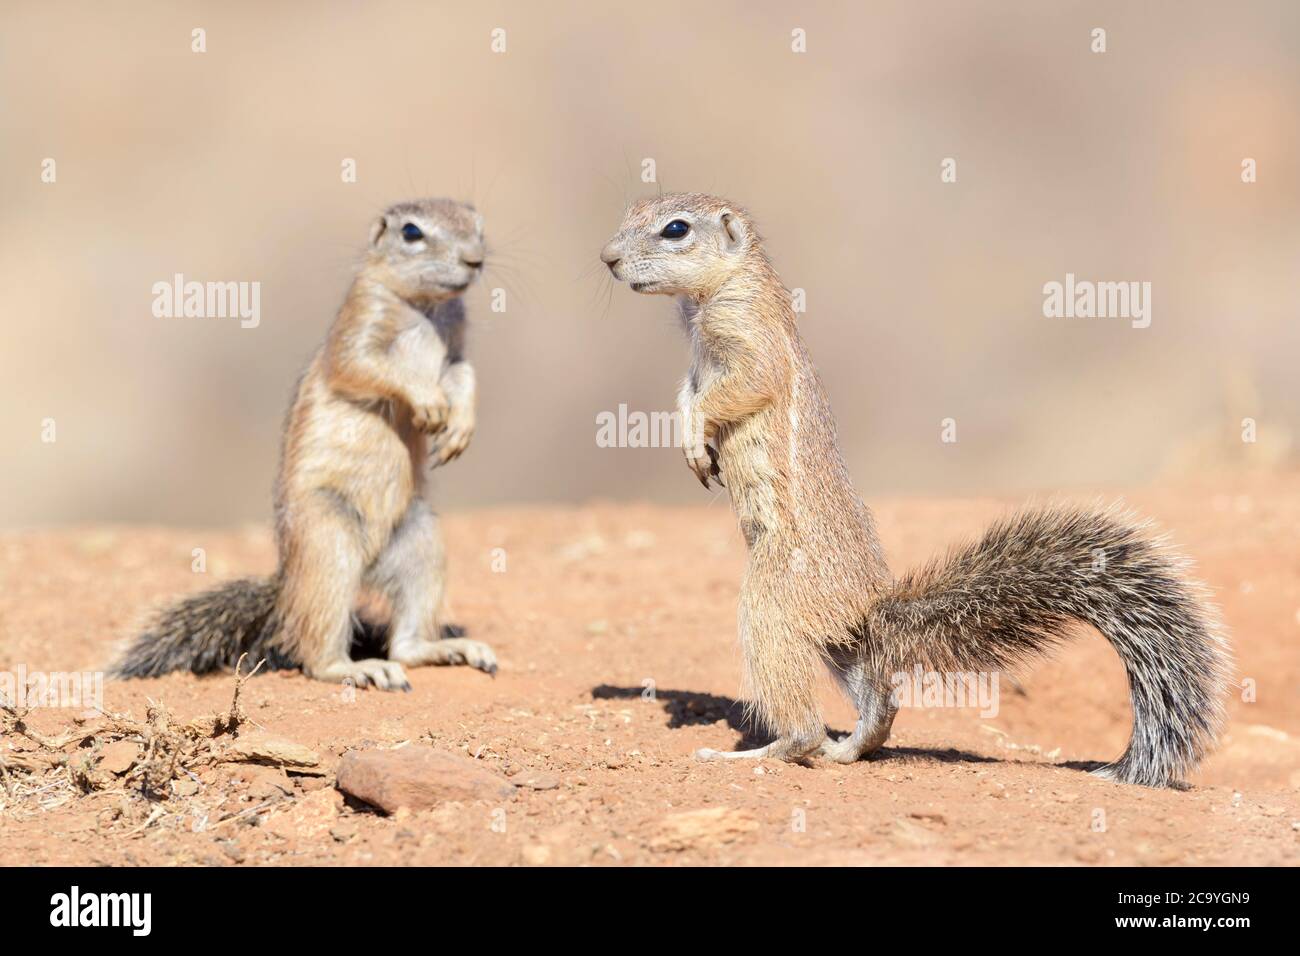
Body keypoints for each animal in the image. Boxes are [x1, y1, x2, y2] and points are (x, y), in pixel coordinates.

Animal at [114, 199, 497, 690]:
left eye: (478, 225)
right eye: (412, 232)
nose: (475, 259)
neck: (427, 309)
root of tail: (287, 583)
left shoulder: (457, 349)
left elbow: (464, 376)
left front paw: (459, 429)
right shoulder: (358, 328)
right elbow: (365, 365)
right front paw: (428, 402)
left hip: (421, 542)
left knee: (406, 644)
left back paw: (449, 649)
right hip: (326, 541)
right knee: (317, 652)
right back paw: (361, 668)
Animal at [601, 192, 1232, 787]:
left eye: (676, 229)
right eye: (631, 210)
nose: (606, 257)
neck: (715, 293)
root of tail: (871, 603)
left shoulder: (749, 341)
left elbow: (736, 388)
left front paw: (692, 437)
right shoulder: (696, 359)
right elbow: (687, 391)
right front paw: (687, 436)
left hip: (771, 605)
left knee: (802, 726)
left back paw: (759, 752)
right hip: (841, 643)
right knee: (879, 700)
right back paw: (849, 748)